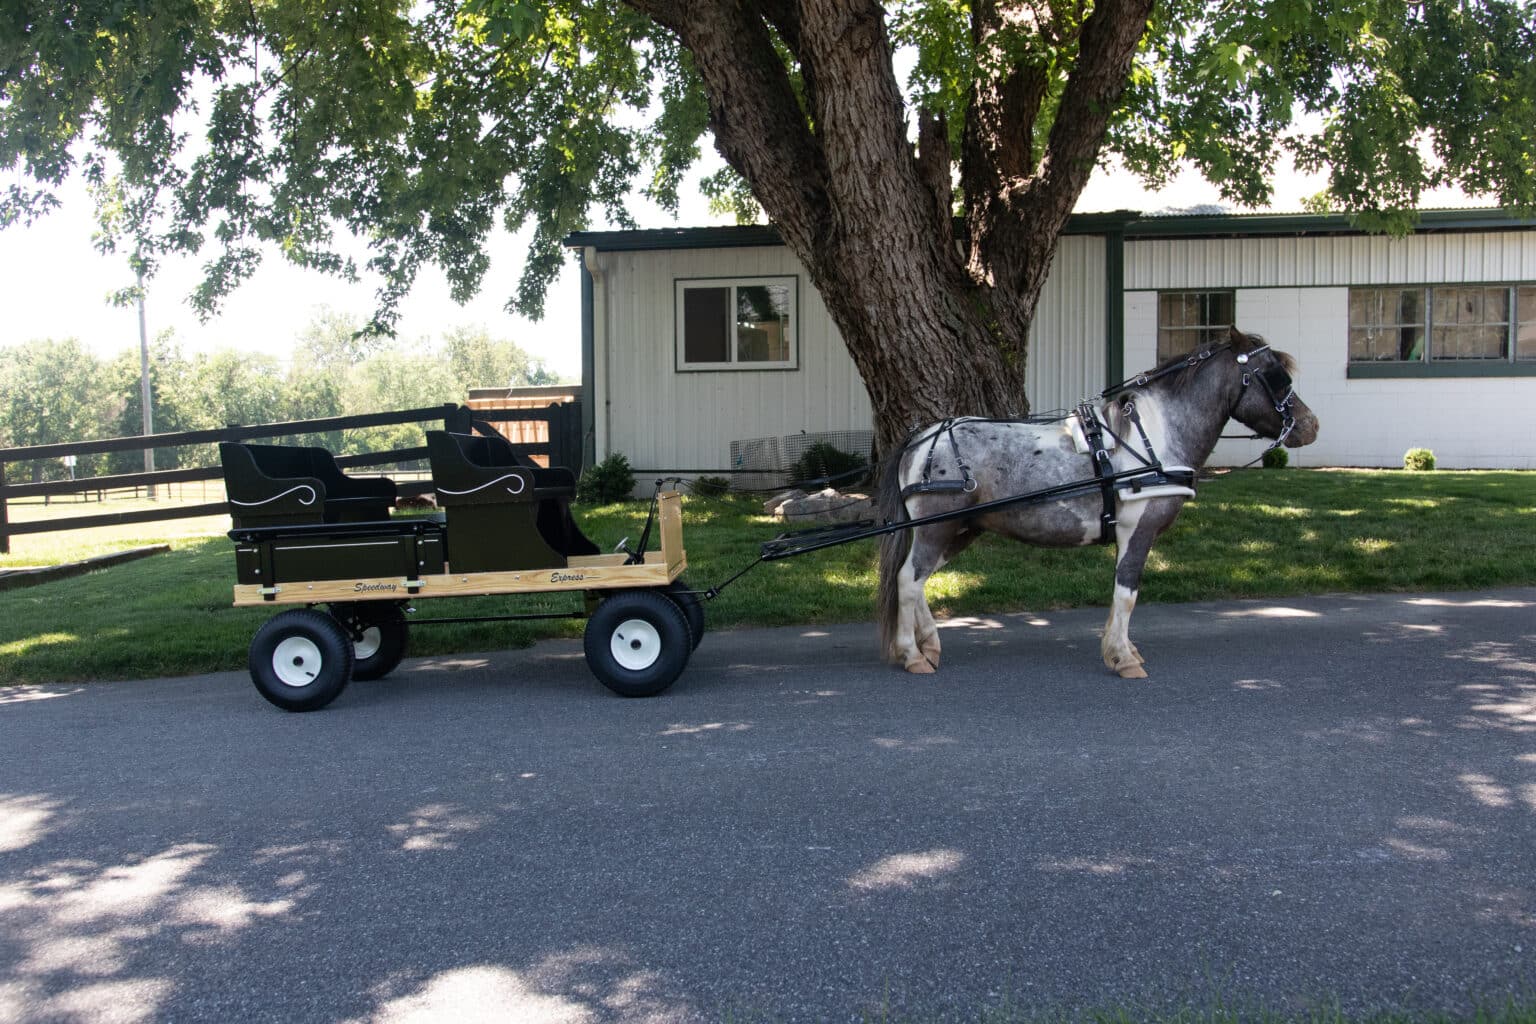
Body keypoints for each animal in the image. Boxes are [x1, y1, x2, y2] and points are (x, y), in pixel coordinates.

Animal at [876, 327, 1320, 678]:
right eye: (1276, 378)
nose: (1311, 426)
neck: (1153, 438)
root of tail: (920, 438)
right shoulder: (1138, 530)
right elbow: (1127, 592)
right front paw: (1124, 658)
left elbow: (1122, 594)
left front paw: (1121, 648)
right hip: (936, 528)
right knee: (908, 579)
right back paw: (912, 654)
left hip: (959, 529)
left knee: (918, 580)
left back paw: (930, 645)